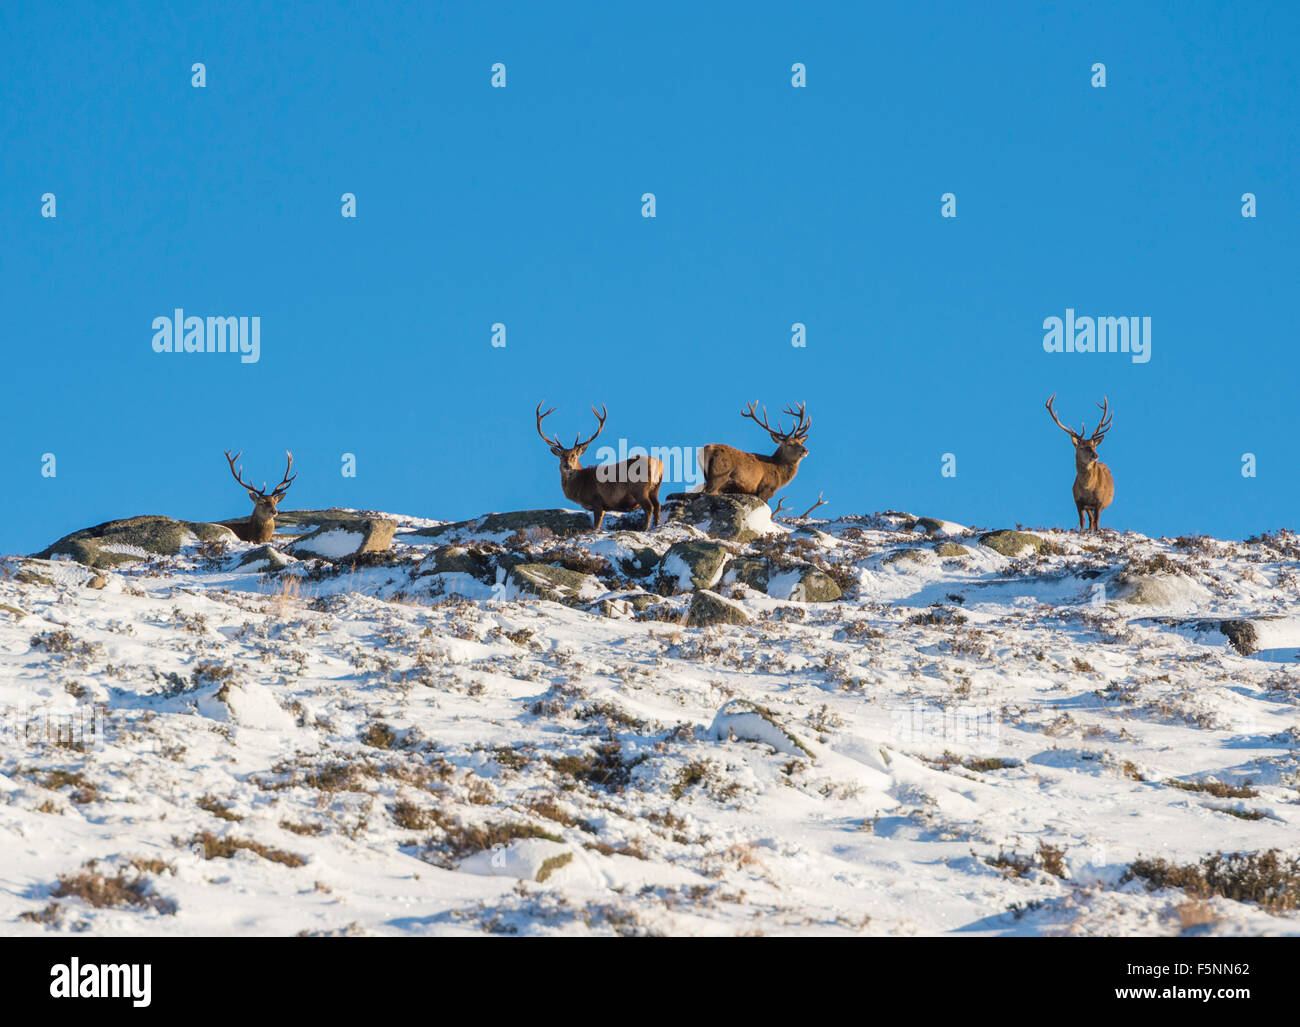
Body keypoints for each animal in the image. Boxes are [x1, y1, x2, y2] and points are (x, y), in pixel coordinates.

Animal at [535, 402, 663, 530]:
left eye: (574, 456)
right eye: (561, 456)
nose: (568, 466)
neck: (581, 486)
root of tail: (659, 464)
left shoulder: (597, 501)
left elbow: (596, 525)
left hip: (639, 489)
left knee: (649, 507)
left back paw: (645, 528)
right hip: (655, 488)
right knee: (658, 505)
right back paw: (656, 525)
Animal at [1045, 394, 1114, 532]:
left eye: (1094, 446)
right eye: (1082, 447)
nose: (1096, 455)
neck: (1088, 488)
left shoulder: (1099, 502)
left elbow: (1097, 523)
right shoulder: (1078, 501)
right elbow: (1082, 522)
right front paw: (1082, 532)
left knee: (1094, 520)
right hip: (1088, 507)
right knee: (1090, 520)